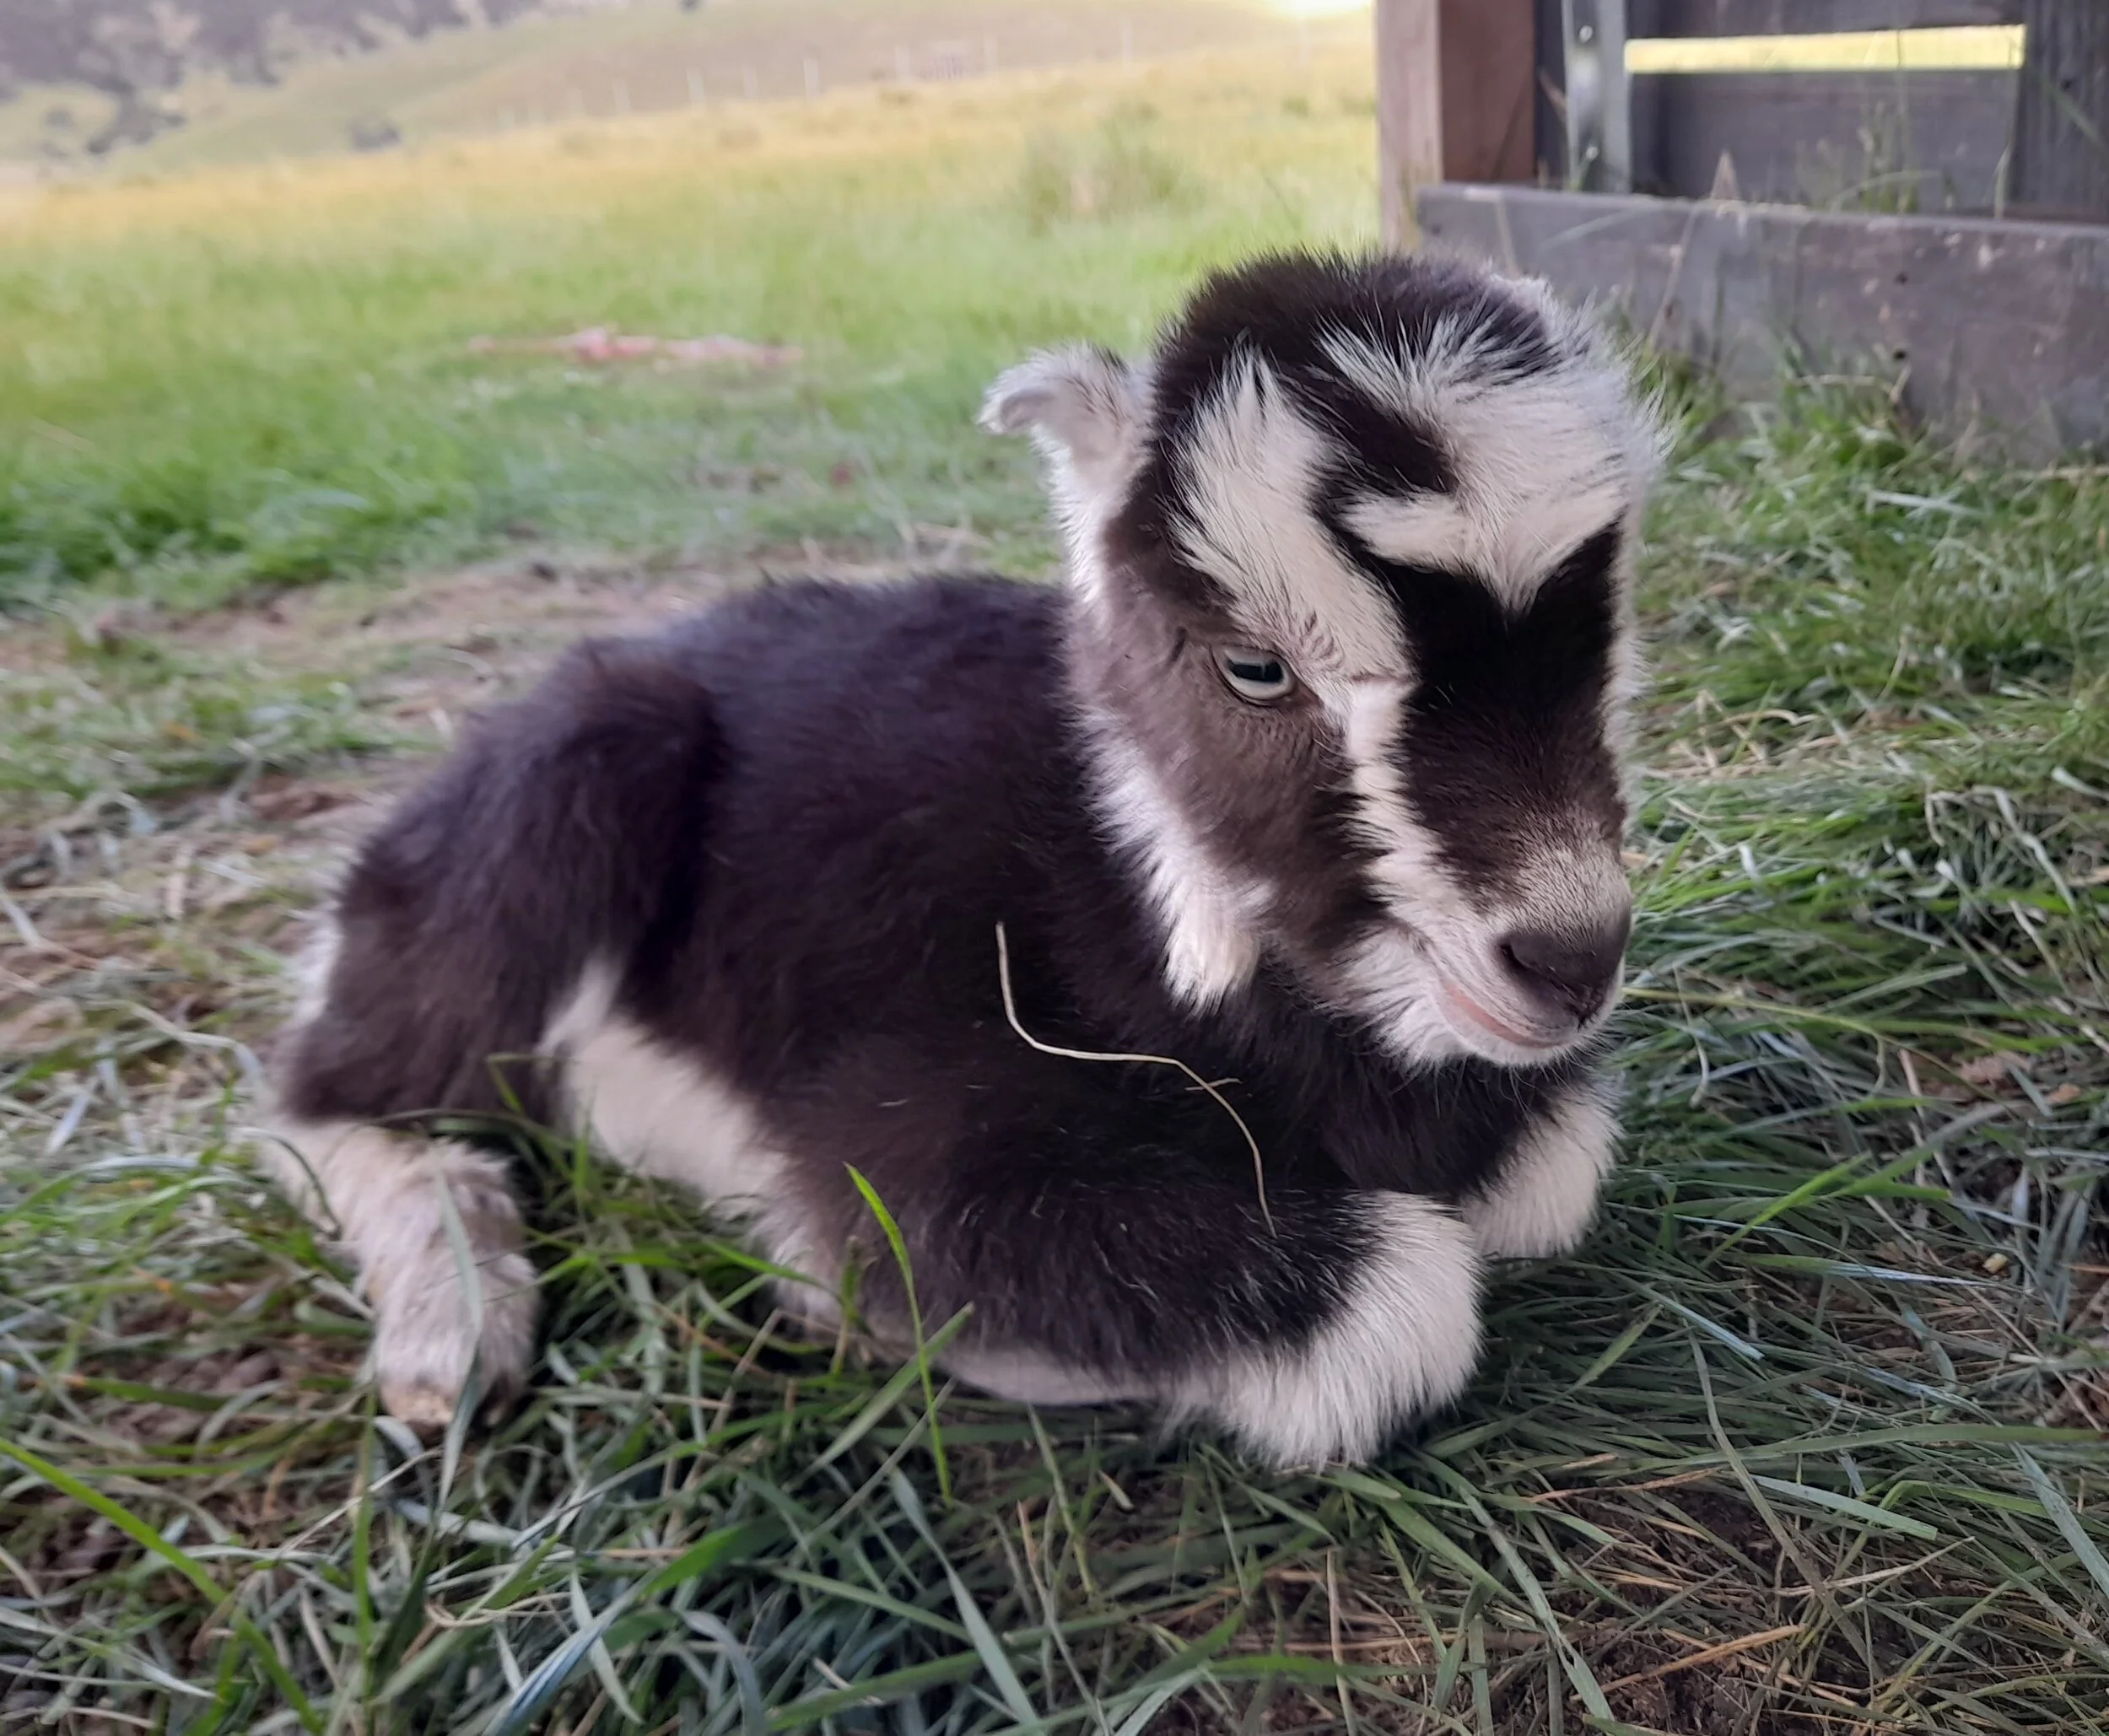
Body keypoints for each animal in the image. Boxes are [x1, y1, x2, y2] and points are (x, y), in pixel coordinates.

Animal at [260, 251, 1660, 1468]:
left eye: (1599, 636)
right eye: (1254, 666)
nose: (1568, 959)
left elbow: (1555, 1168)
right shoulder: (915, 1138)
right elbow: (1400, 1316)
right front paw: (856, 1308)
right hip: (563, 790)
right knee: (327, 1097)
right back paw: (451, 1328)